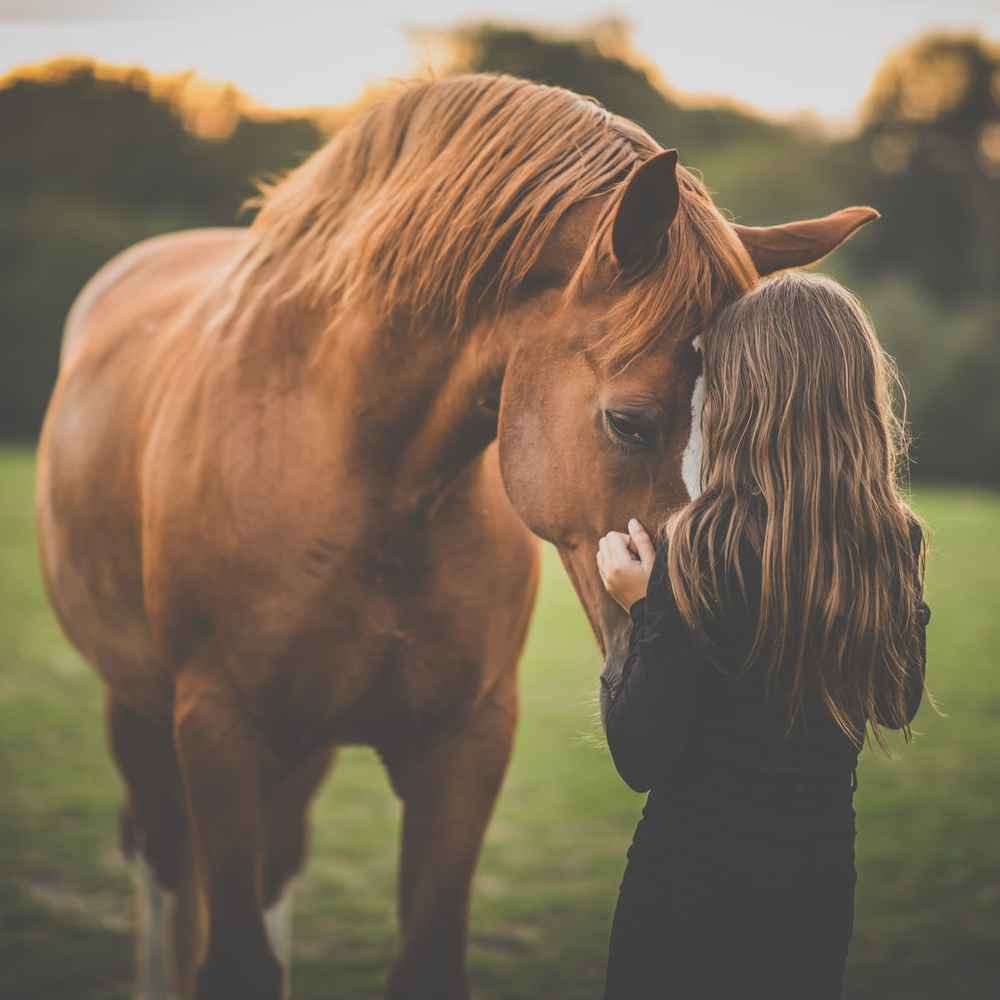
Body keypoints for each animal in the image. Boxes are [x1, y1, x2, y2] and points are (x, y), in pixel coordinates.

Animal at [35, 73, 876, 1000]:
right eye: (629, 422)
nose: (725, 654)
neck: (353, 474)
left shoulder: (466, 741)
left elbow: (424, 955)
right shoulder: (219, 728)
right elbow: (235, 959)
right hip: (142, 710)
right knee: (163, 870)